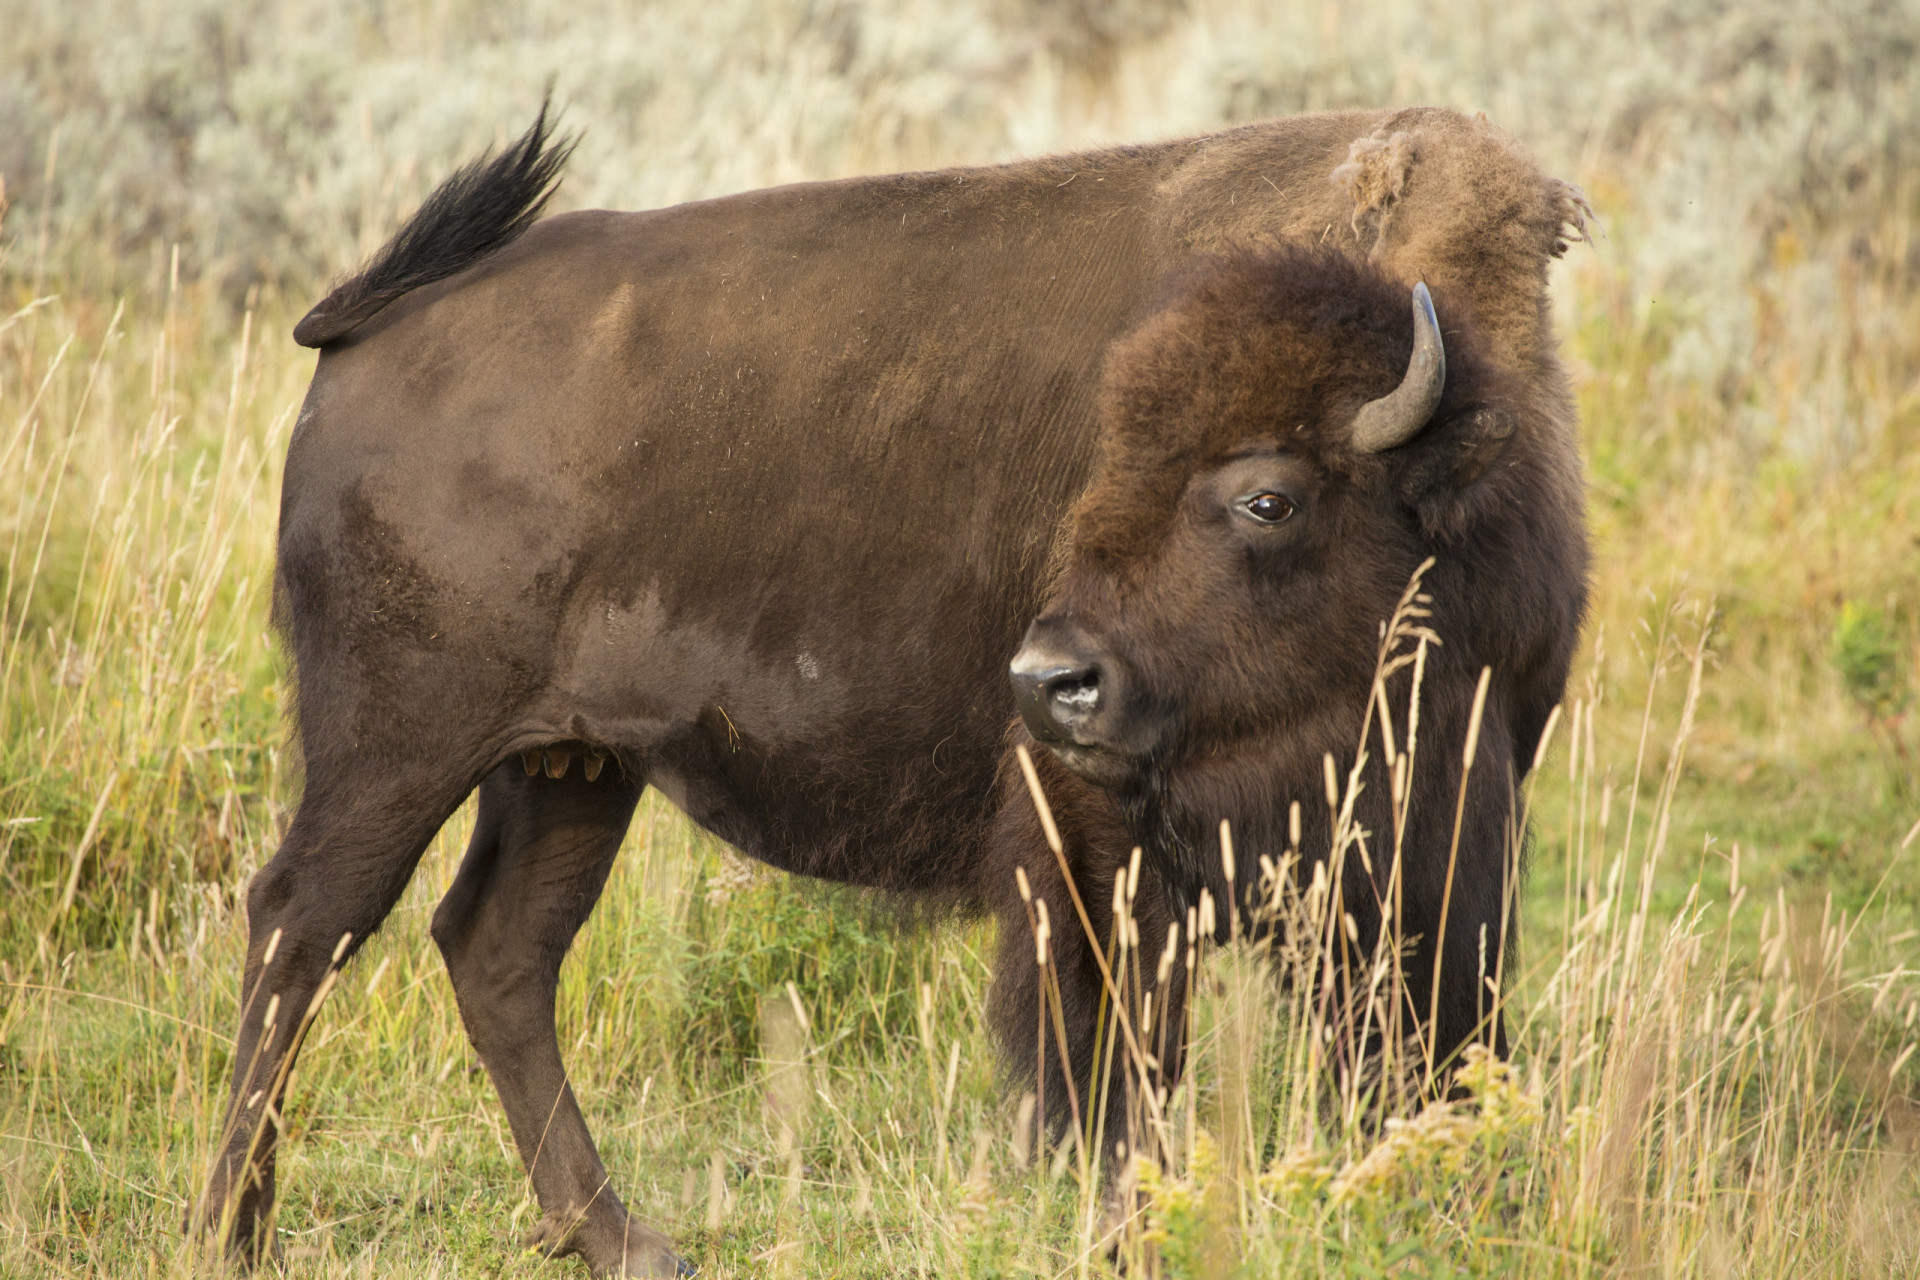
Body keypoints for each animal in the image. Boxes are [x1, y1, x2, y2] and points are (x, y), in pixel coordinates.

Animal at [199, 102, 1588, 1275]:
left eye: (1267, 496)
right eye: (1106, 468)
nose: (1048, 679)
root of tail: (367, 332)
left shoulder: (1444, 828)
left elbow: (1419, 1027)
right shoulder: (1102, 839)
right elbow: (1119, 1055)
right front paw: (1126, 1224)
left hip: (570, 768)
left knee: (496, 949)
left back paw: (625, 1239)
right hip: (398, 750)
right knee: (301, 925)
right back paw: (233, 1230)